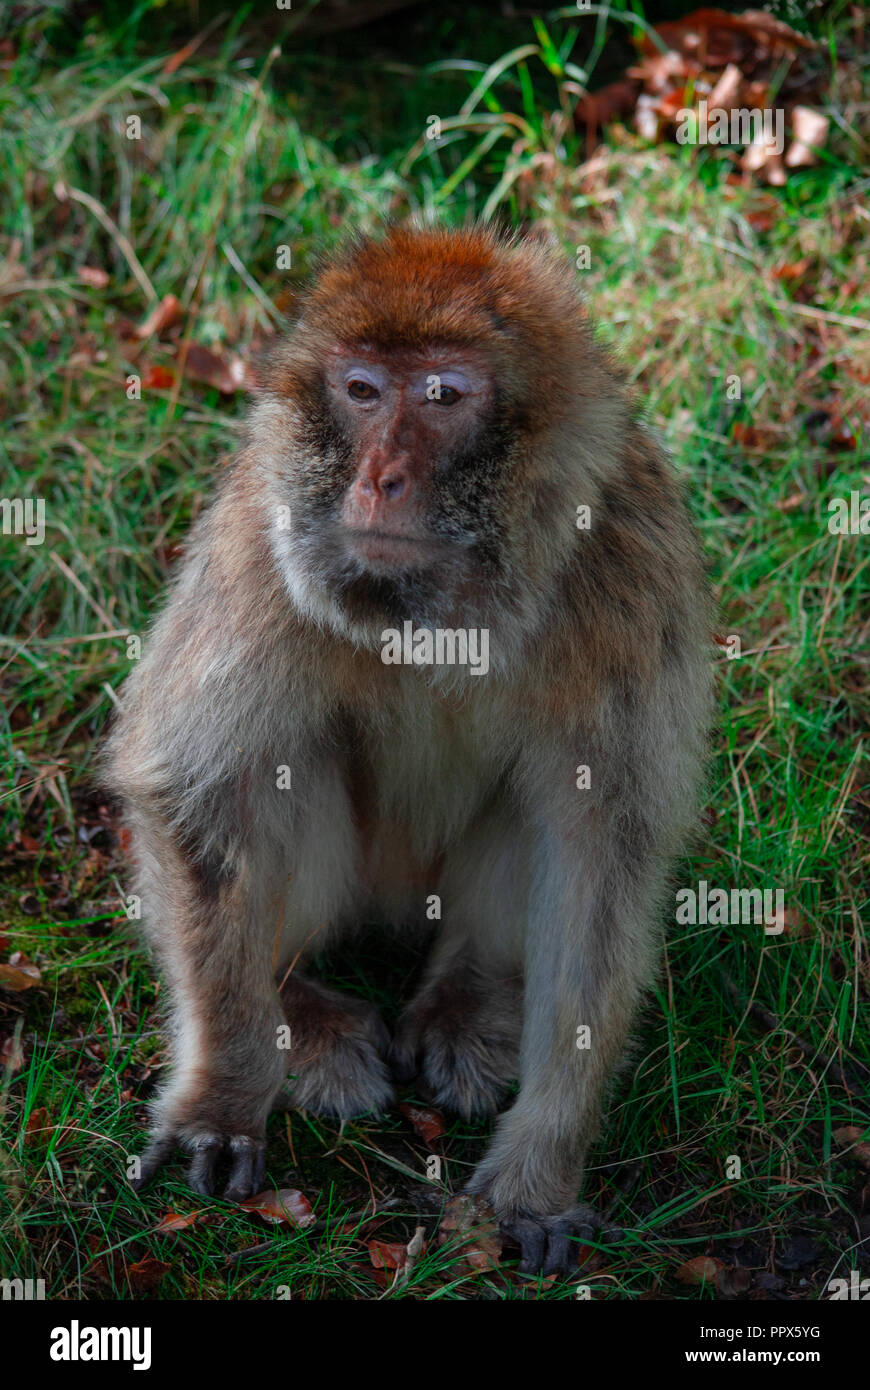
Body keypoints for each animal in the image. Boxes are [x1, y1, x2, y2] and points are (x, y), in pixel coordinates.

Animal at [105, 224, 713, 1276]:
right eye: (359, 390)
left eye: (441, 395)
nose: (377, 477)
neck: (447, 611)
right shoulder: (261, 544)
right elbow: (205, 789)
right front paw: (226, 1095)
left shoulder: (629, 568)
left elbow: (605, 848)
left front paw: (540, 1172)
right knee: (281, 771)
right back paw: (298, 1007)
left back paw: (470, 994)